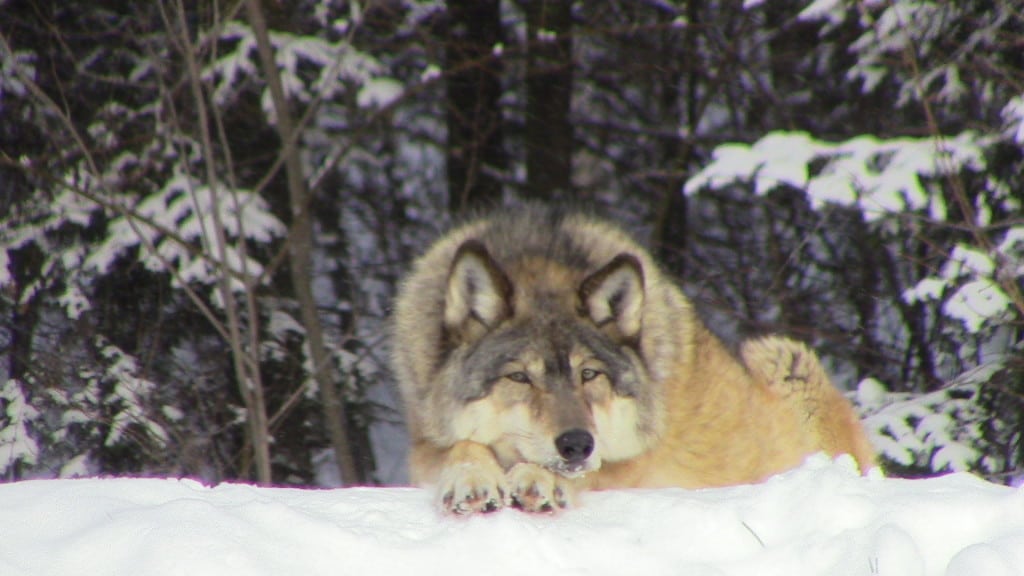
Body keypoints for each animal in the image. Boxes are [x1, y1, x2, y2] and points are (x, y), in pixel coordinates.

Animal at [391, 206, 876, 514]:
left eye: (589, 374)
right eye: (520, 377)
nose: (576, 443)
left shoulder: (627, 466)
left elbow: (575, 472)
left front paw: (539, 479)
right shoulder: (424, 445)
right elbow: (464, 446)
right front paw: (471, 480)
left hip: (777, 354)